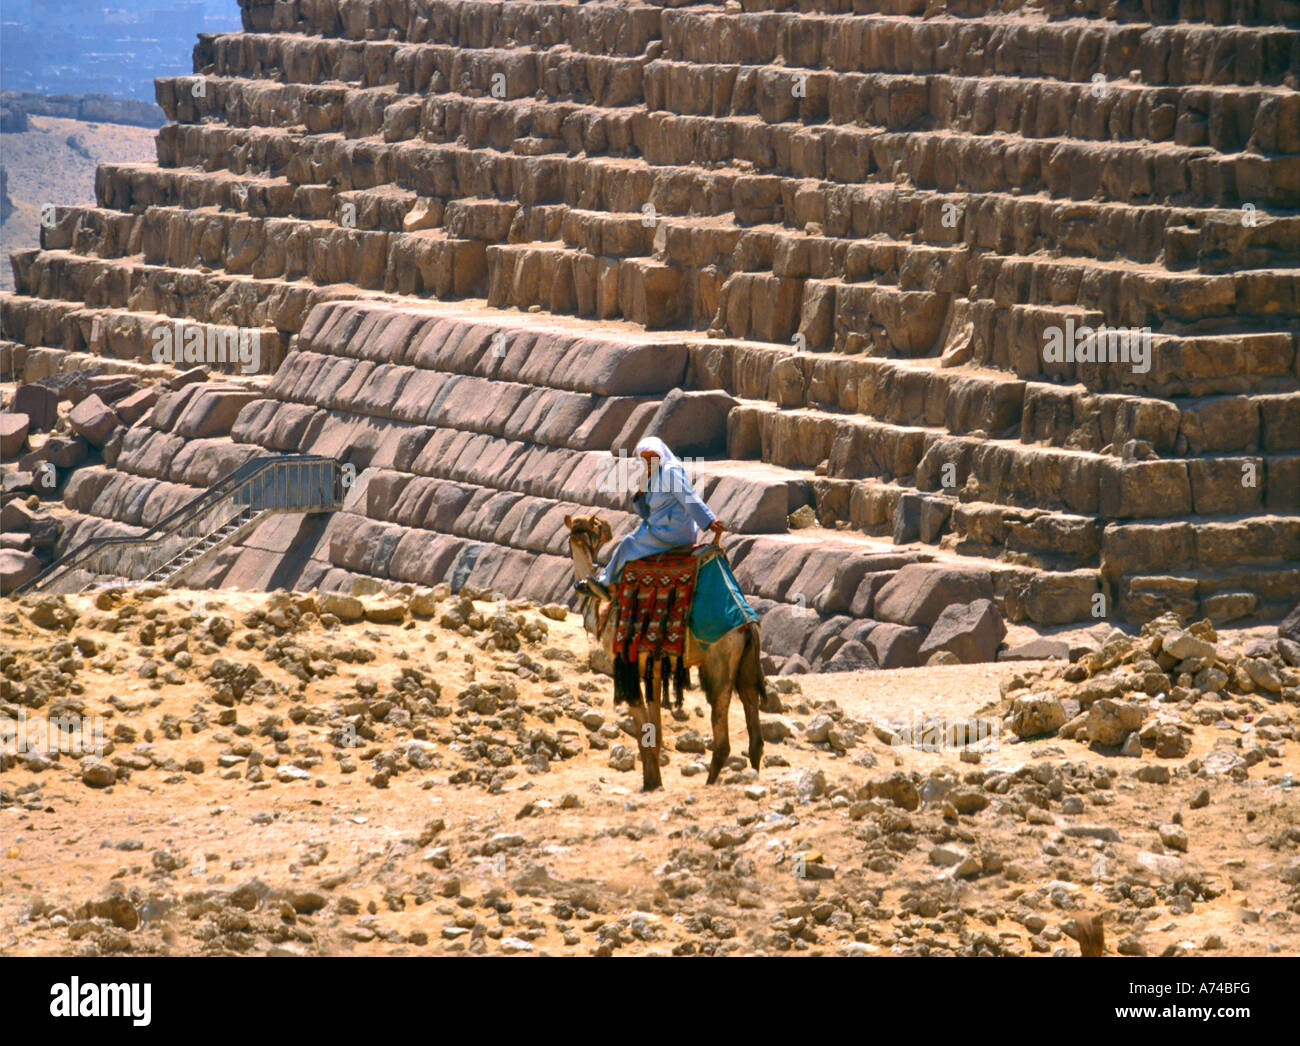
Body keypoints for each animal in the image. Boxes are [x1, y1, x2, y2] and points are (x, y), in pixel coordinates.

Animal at [565, 514, 768, 792]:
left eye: (590, 523)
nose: (607, 528)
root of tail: (748, 623)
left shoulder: (627, 665)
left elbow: (643, 732)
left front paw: (650, 783)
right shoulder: (653, 666)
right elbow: (656, 733)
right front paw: (655, 782)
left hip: (719, 661)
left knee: (723, 738)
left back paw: (710, 783)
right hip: (747, 663)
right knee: (754, 729)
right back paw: (751, 777)